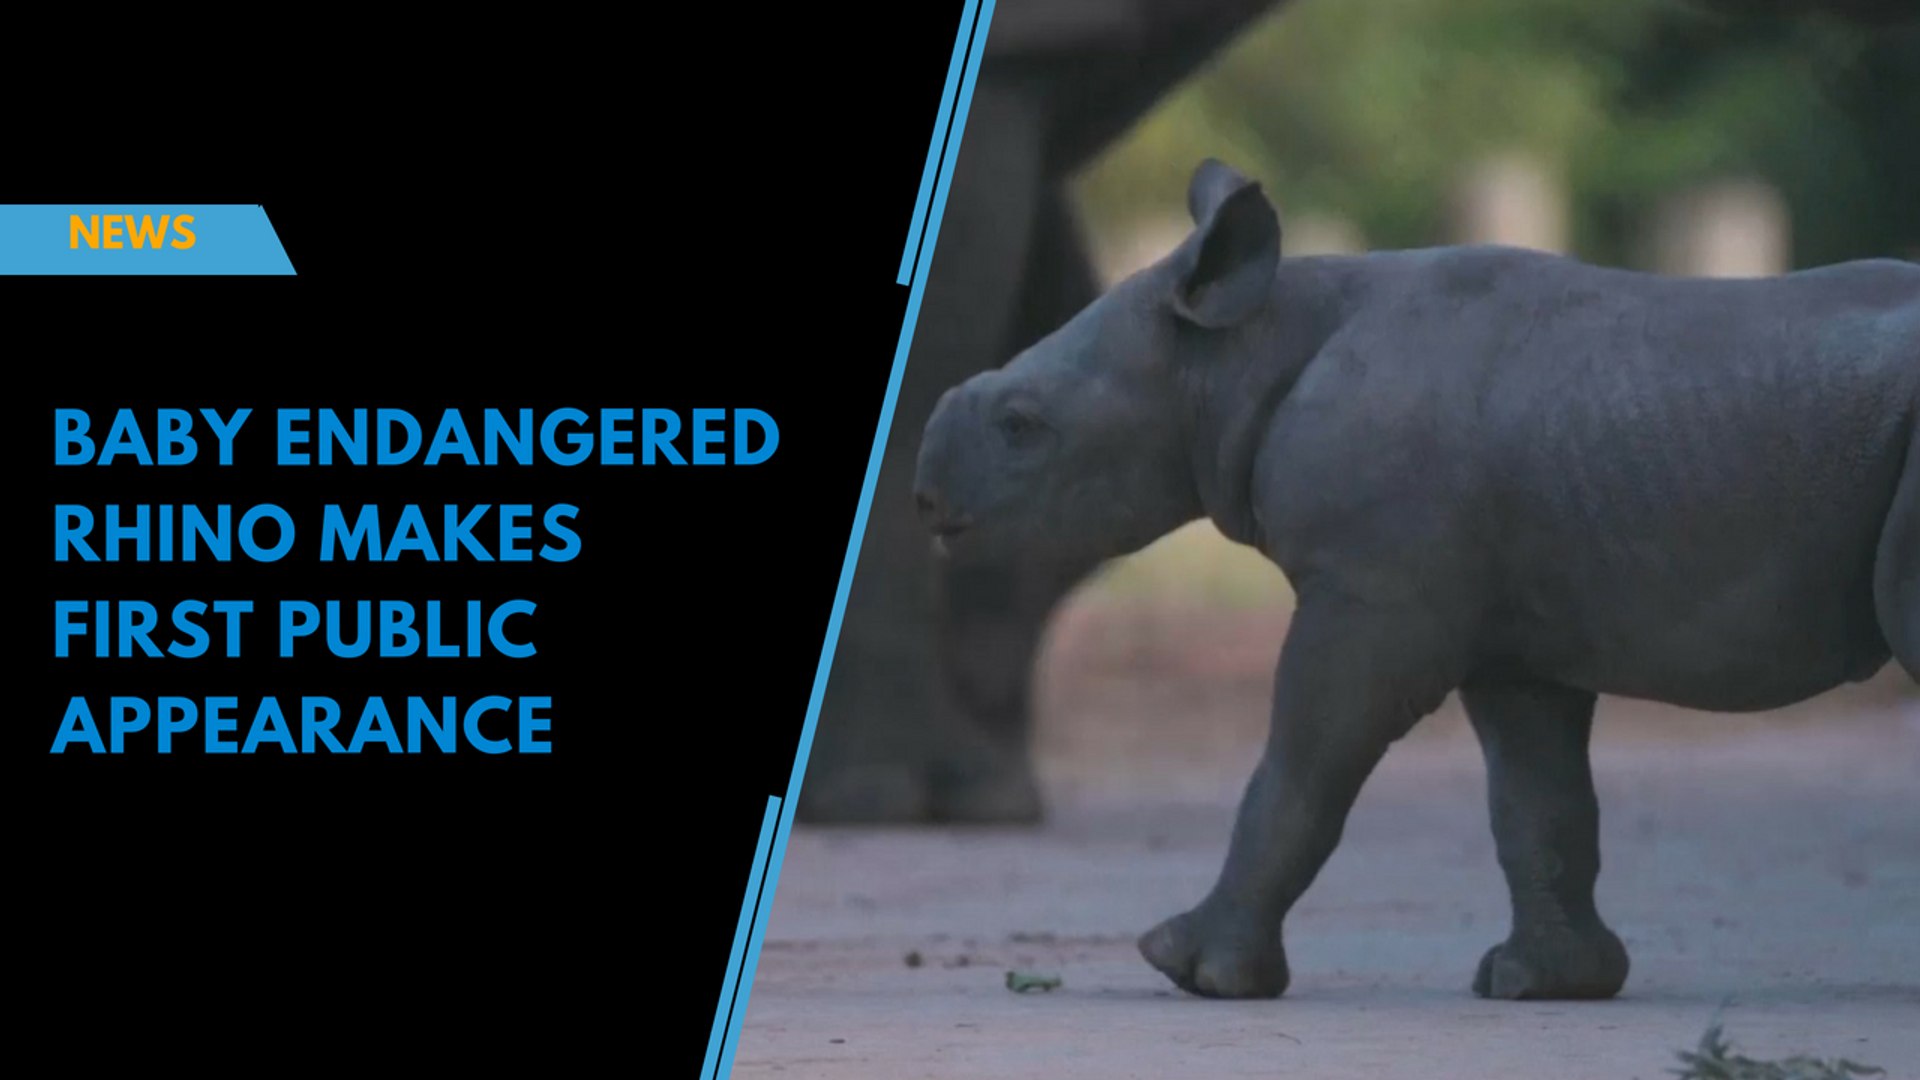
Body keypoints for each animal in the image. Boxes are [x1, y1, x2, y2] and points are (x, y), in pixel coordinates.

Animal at [911, 159, 1920, 1001]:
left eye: (1022, 425)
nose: (925, 497)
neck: (1240, 353)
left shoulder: (1370, 597)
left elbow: (1302, 768)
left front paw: (1190, 970)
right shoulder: (1510, 639)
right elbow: (1536, 801)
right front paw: (1540, 986)